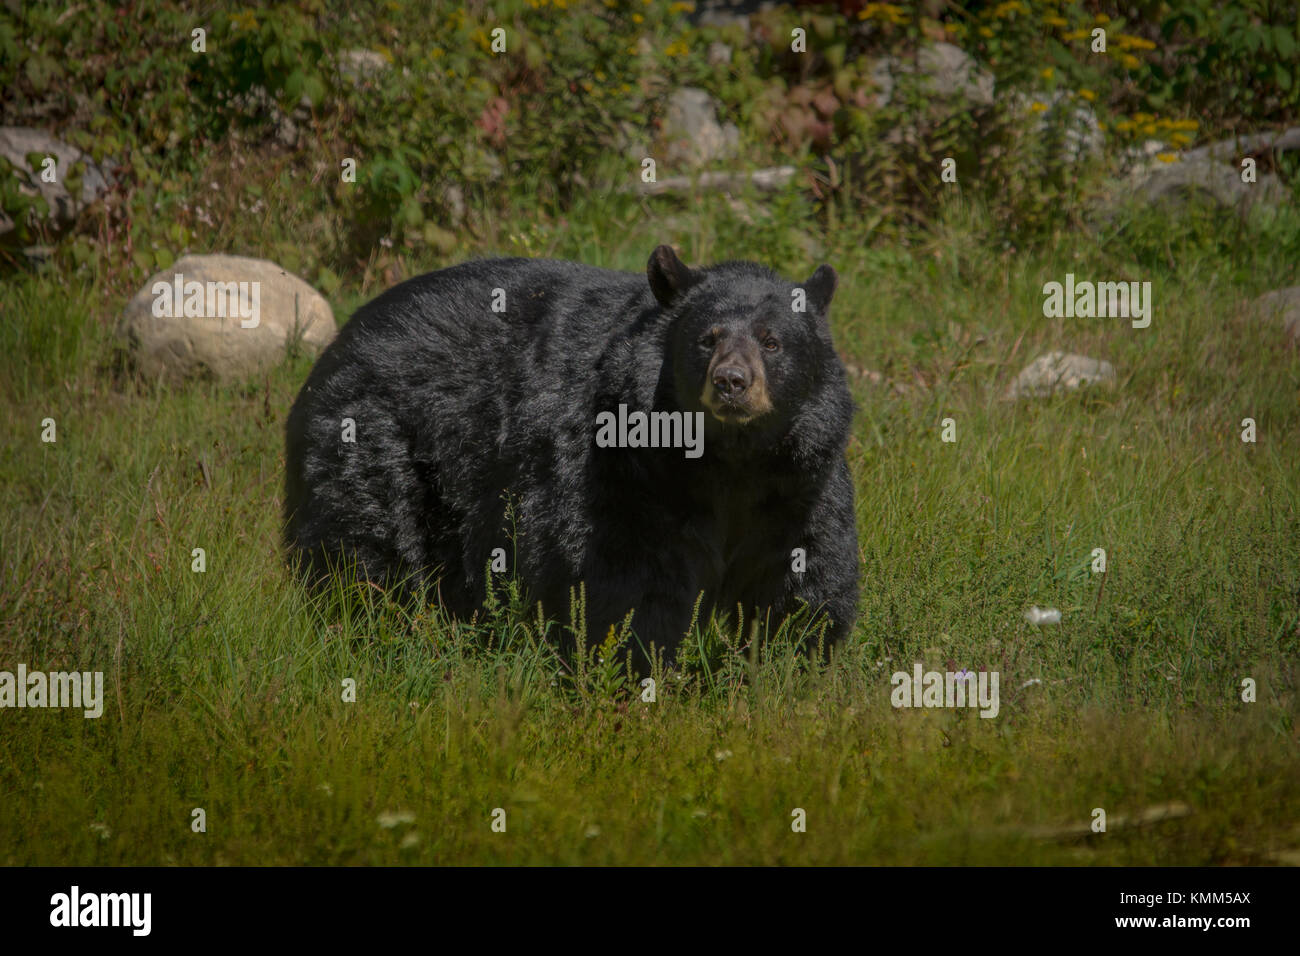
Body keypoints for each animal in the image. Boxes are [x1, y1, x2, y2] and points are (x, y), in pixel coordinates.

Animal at [283, 245, 860, 671]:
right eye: (706, 338)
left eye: (771, 341)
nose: (731, 382)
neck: (727, 461)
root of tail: (342, 338)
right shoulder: (618, 465)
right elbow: (623, 572)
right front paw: (633, 663)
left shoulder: (800, 480)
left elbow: (802, 568)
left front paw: (789, 660)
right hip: (376, 438)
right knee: (369, 547)